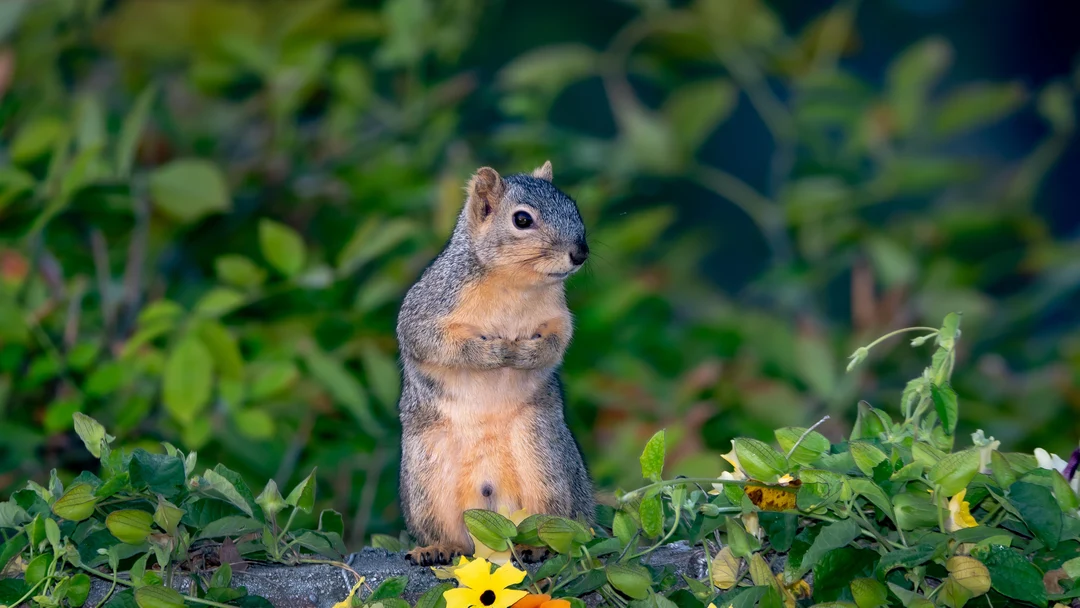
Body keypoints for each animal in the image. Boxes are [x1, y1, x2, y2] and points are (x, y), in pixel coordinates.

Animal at [396, 161, 595, 566]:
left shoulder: (558, 318)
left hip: (545, 462)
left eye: (573, 205)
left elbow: (555, 345)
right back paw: (437, 548)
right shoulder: (426, 309)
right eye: (522, 219)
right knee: (452, 537)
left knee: (551, 522)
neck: (513, 284)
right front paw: (492, 353)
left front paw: (525, 354)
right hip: (425, 480)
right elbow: (433, 343)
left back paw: (535, 546)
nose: (580, 253)